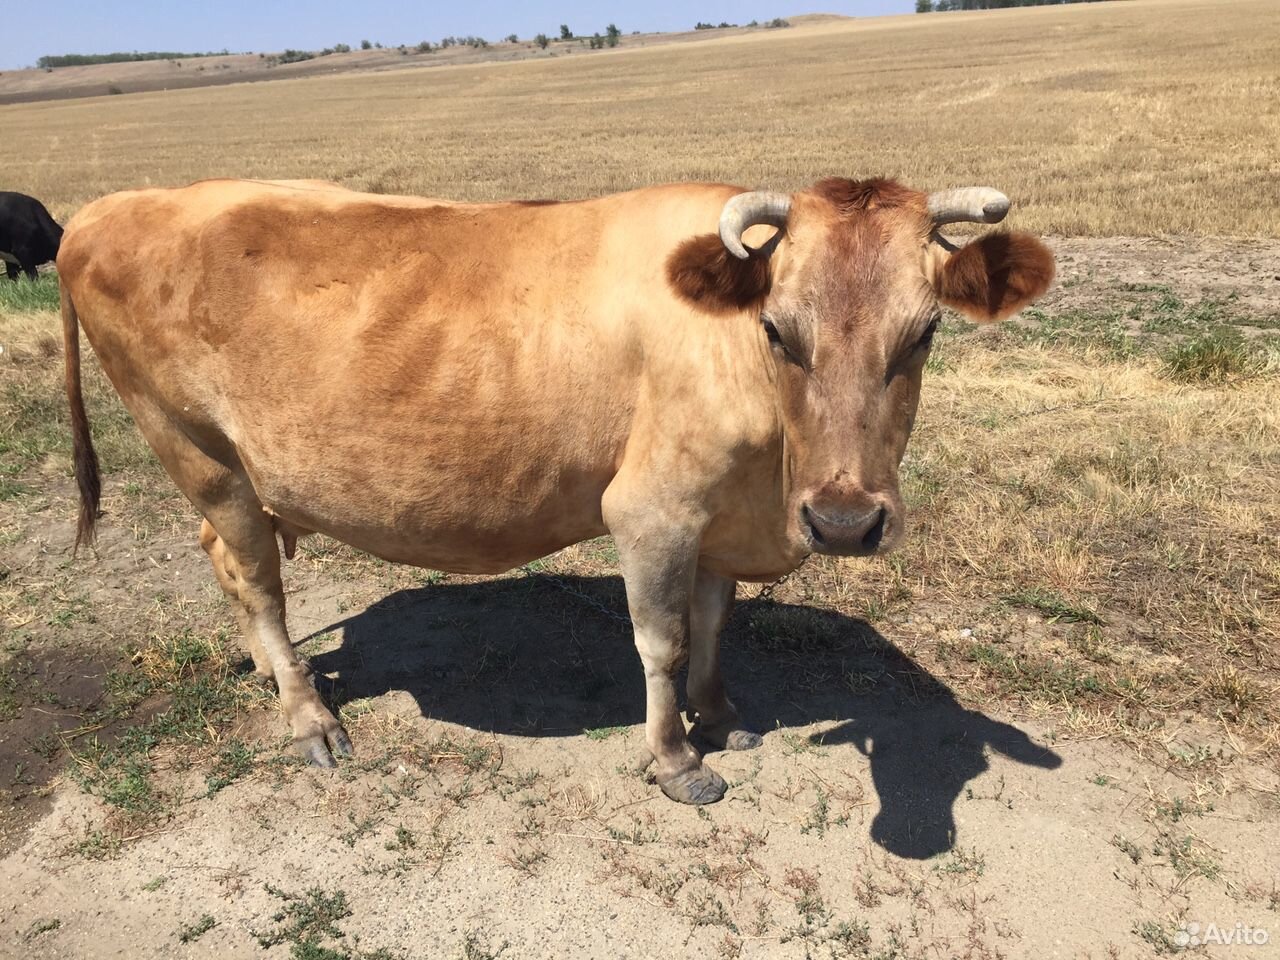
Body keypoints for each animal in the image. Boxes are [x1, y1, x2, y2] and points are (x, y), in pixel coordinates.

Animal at [57, 176, 1053, 804]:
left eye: (924, 333)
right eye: (780, 329)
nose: (844, 521)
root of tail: (109, 209)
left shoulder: (721, 517)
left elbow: (713, 625)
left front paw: (722, 714)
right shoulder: (650, 511)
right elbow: (660, 643)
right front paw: (674, 758)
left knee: (227, 561)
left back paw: (272, 672)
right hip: (196, 449)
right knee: (257, 578)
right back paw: (306, 714)